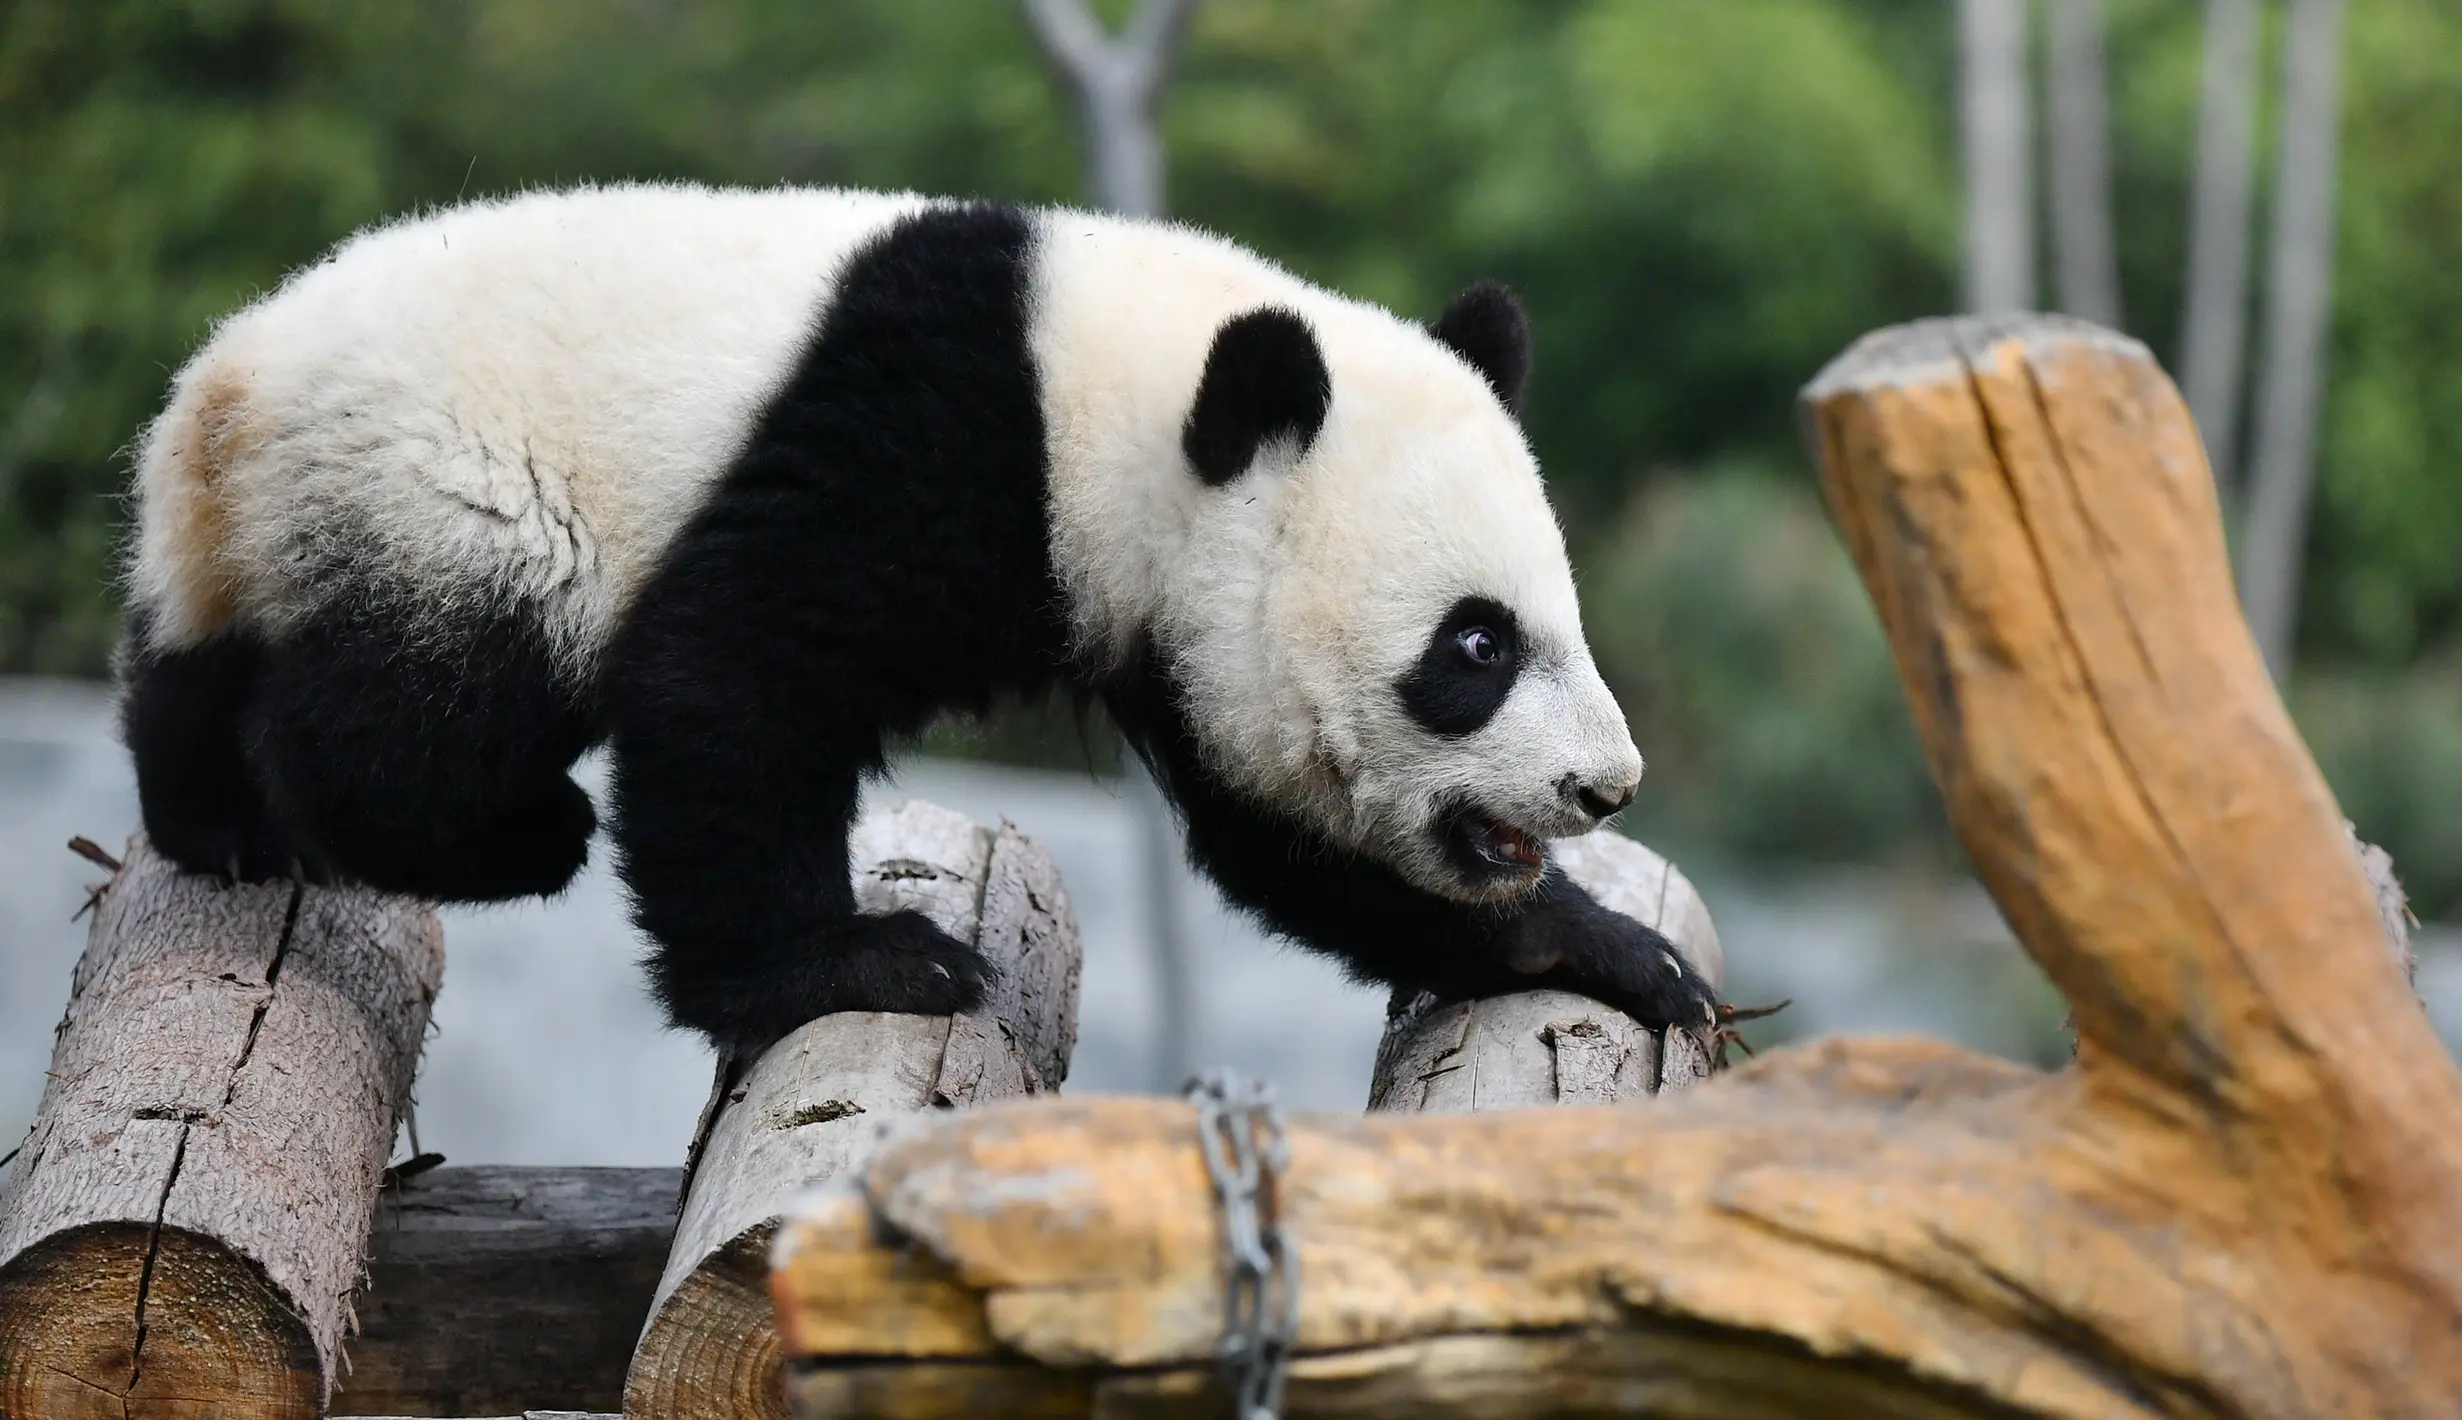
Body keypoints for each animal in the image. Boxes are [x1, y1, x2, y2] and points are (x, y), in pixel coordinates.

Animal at [117, 182, 1722, 1052]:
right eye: (1476, 646)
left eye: (1554, 622)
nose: (1604, 786)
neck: (1114, 398)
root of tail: (224, 393)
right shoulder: (924, 442)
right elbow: (727, 679)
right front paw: (858, 964)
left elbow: (1285, 835)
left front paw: (1613, 957)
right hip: (460, 490)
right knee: (407, 720)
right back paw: (494, 832)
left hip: (269, 522)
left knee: (202, 670)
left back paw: (216, 816)